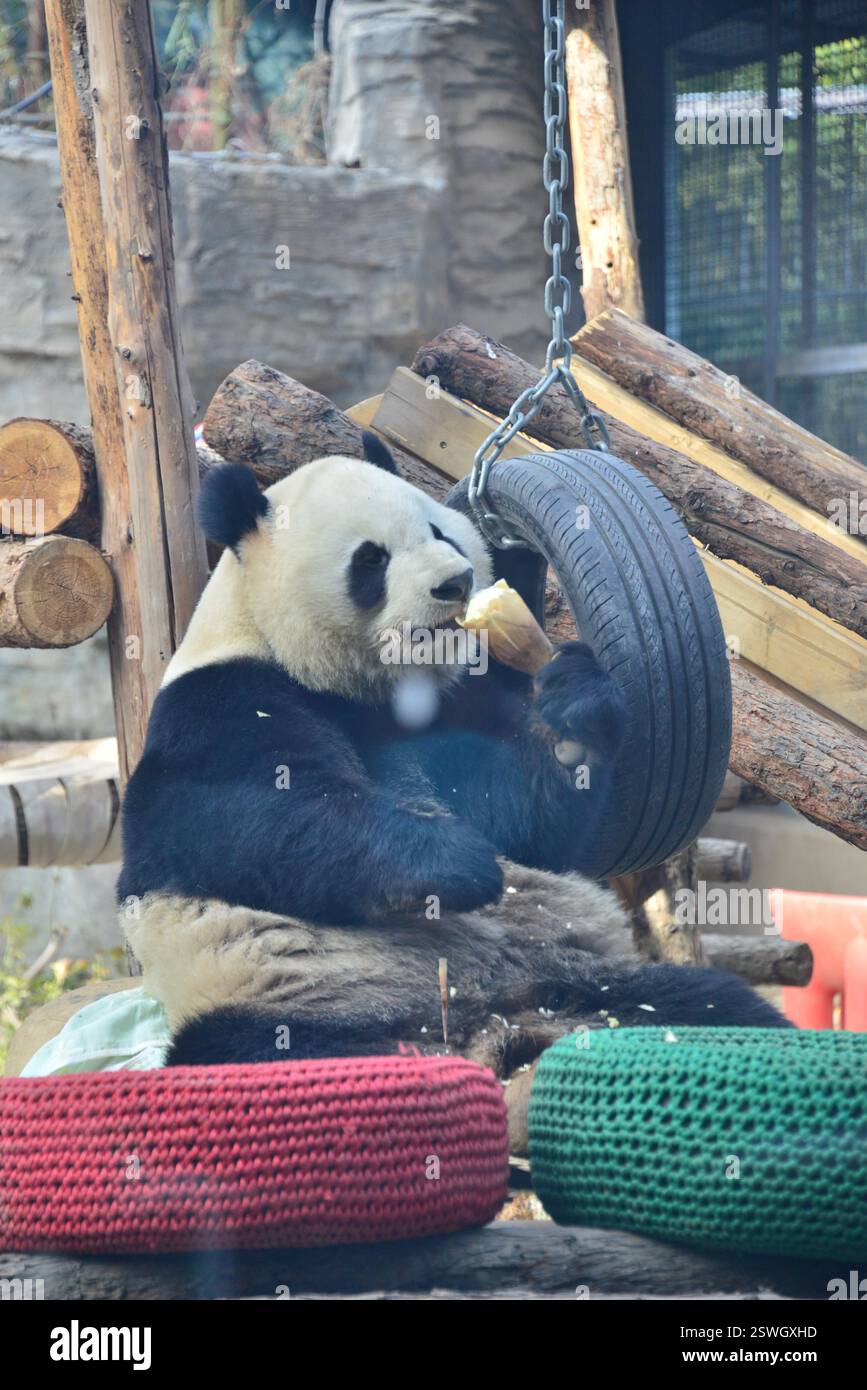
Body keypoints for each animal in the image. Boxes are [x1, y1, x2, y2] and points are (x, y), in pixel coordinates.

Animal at [118, 432, 786, 1068]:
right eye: (371, 559)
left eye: (440, 531)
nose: (456, 582)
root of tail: (494, 1028)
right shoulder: (223, 698)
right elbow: (230, 819)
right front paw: (456, 863)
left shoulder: (456, 702)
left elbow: (522, 823)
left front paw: (574, 712)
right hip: (295, 1005)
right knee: (268, 1053)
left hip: (587, 984)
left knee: (712, 1006)